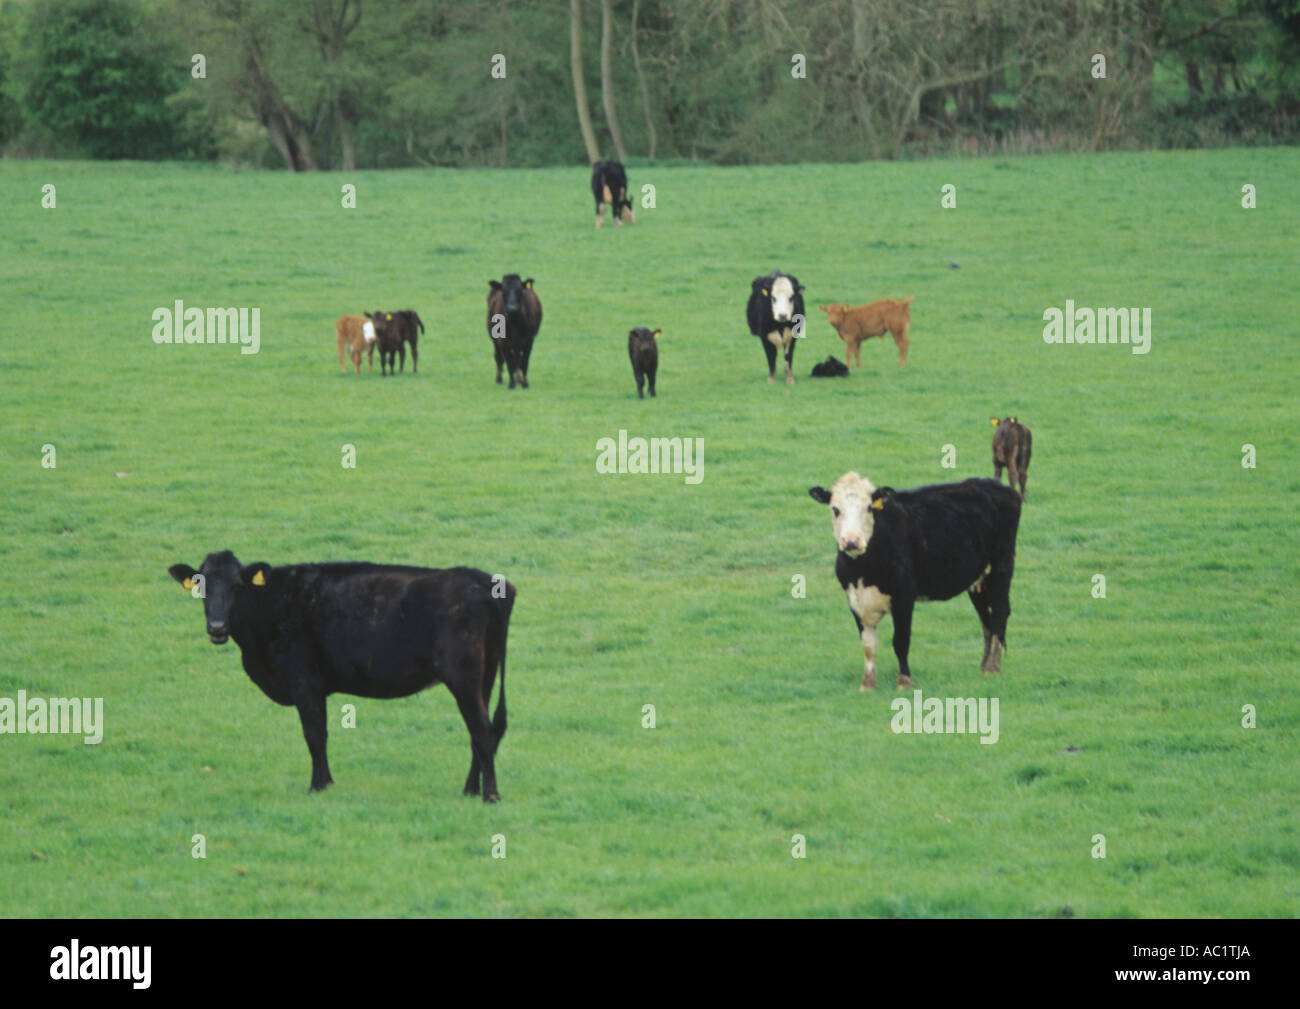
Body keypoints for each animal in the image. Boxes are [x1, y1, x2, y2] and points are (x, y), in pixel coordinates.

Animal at [167, 551, 515, 801]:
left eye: (237, 587)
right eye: (200, 586)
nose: (217, 628)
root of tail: (484, 580)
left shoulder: (304, 681)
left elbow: (314, 734)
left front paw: (317, 787)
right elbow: (320, 734)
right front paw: (327, 783)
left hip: (463, 676)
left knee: (482, 730)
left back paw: (491, 795)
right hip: (485, 675)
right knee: (480, 732)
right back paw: (470, 790)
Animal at [808, 474, 1021, 690]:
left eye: (869, 508)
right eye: (835, 509)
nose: (852, 541)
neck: (862, 572)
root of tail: (993, 484)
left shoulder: (904, 596)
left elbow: (900, 641)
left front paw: (904, 681)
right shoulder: (855, 600)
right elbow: (868, 645)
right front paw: (867, 684)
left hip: (1002, 568)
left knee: (1000, 614)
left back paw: (992, 668)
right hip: (977, 580)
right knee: (986, 620)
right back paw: (984, 667)